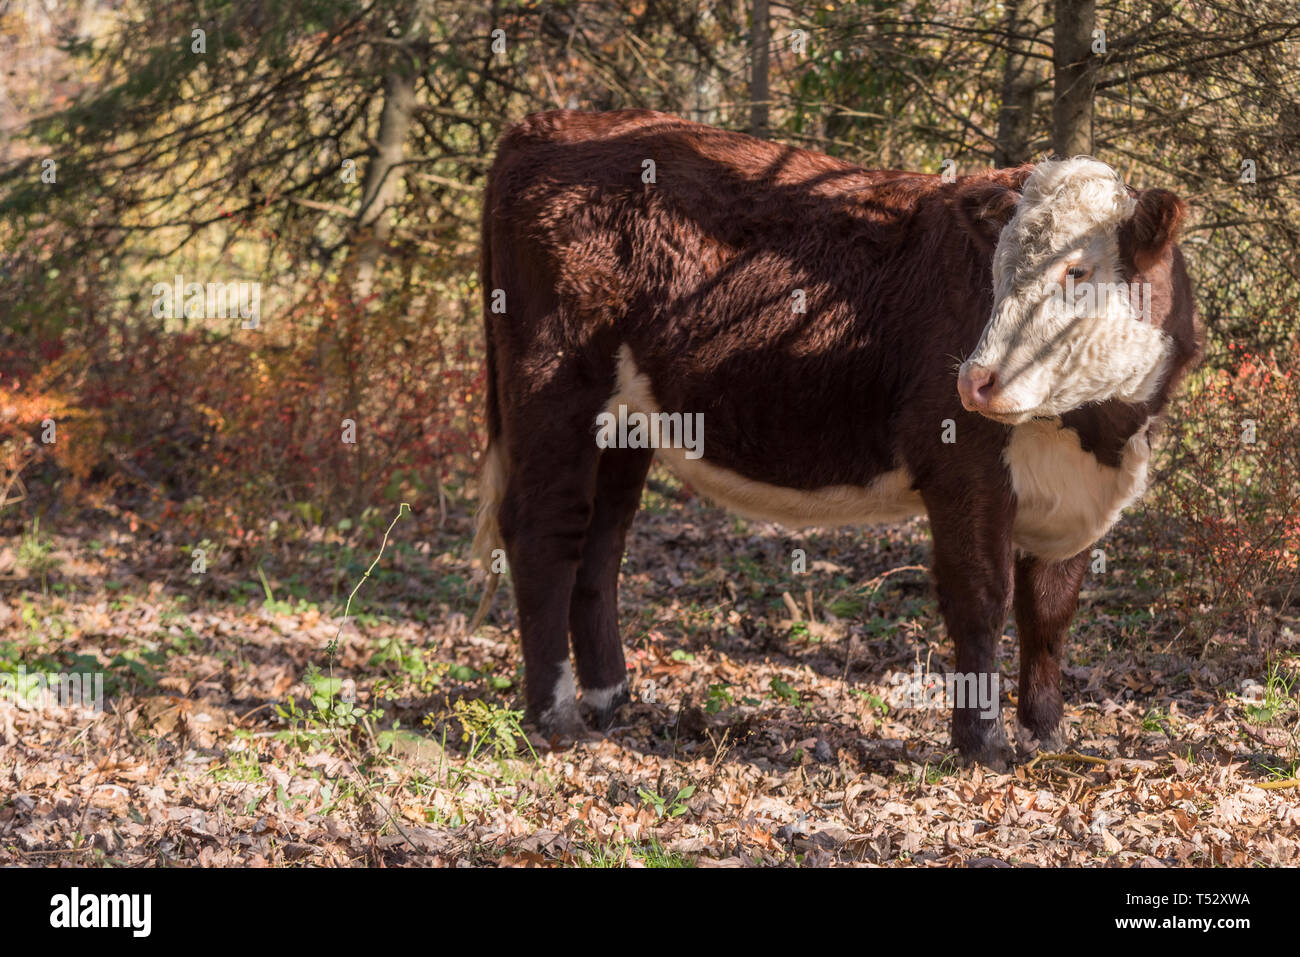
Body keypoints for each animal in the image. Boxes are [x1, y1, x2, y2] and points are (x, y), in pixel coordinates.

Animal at [470, 109, 1199, 766]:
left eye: (1077, 271)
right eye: (995, 271)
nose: (976, 379)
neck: (1099, 432)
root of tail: (549, 125)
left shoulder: (1078, 499)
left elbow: (1050, 611)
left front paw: (1047, 736)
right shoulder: (961, 468)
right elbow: (982, 598)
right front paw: (982, 744)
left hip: (626, 419)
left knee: (602, 543)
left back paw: (609, 697)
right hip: (554, 386)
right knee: (547, 532)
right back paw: (556, 716)